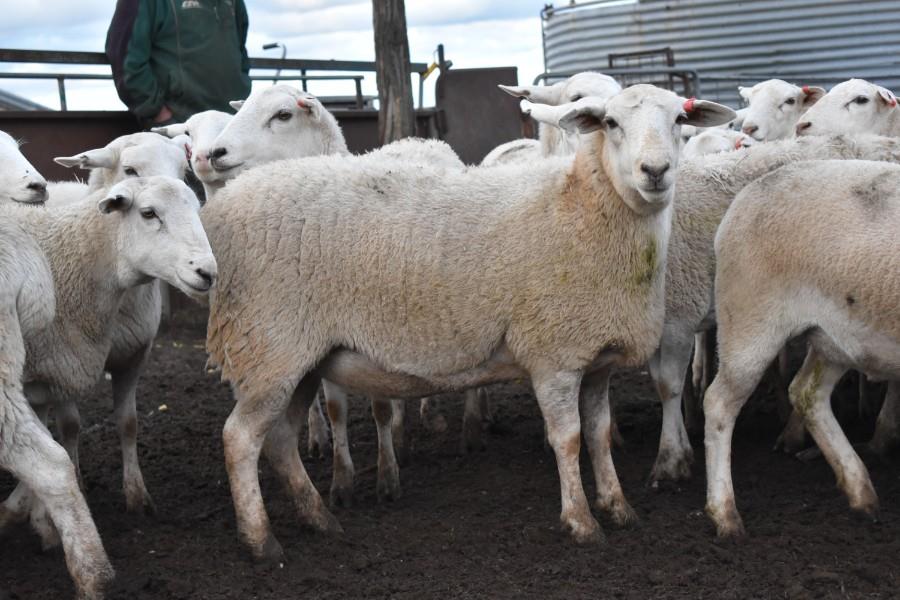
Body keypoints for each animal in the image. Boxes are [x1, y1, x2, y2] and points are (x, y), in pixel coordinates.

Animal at [0, 177, 216, 549]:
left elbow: (124, 423)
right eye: (148, 213)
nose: (207, 272)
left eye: (196, 208)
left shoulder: (53, 374)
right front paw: (41, 520)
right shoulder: (45, 373)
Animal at [201, 85, 736, 560]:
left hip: (297, 361)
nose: (656, 171)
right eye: (610, 123)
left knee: (280, 441)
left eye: (680, 121)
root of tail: (221, 211)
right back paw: (261, 540)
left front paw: (619, 507)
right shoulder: (554, 355)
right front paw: (582, 523)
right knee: (240, 440)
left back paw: (319, 518)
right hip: (269, 345)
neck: (582, 208)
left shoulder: (596, 356)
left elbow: (600, 435)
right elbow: (568, 440)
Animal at [703, 159, 900, 537]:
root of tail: (747, 195)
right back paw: (725, 515)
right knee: (719, 404)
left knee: (807, 393)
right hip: (748, 317)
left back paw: (860, 492)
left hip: (832, 337)